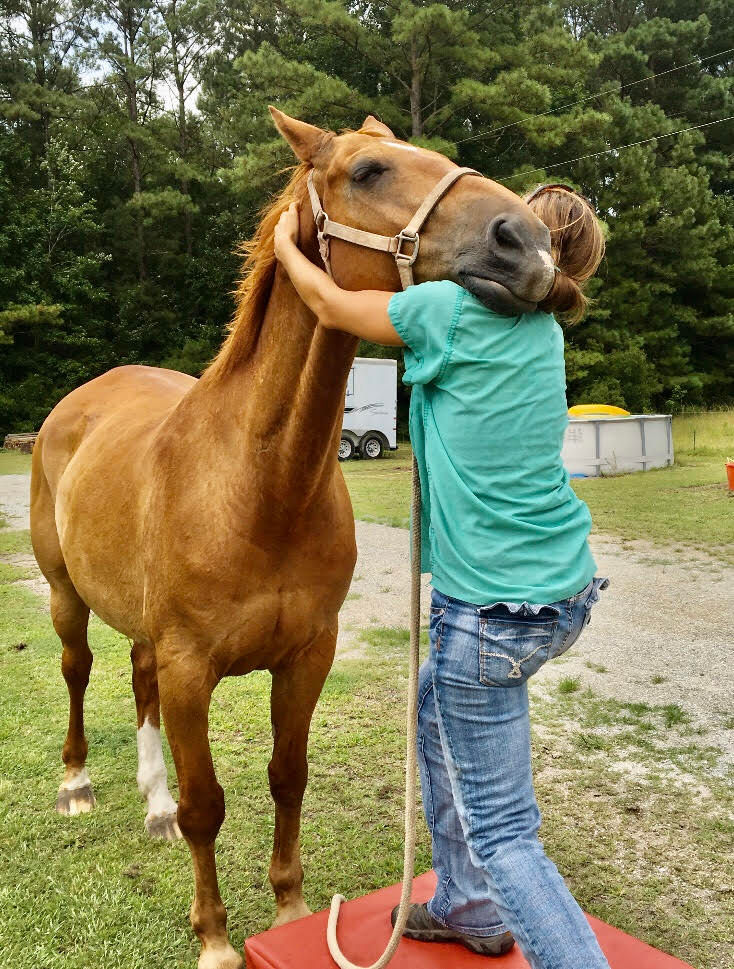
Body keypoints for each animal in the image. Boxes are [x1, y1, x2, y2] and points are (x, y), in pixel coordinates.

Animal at [29, 108, 556, 969]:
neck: (257, 484)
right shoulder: (190, 668)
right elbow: (209, 804)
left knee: (136, 683)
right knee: (79, 670)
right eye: (370, 170)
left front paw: (290, 909)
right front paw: (214, 936)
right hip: (65, 592)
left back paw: (153, 803)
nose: (529, 241)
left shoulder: (308, 652)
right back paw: (78, 785)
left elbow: (288, 774)